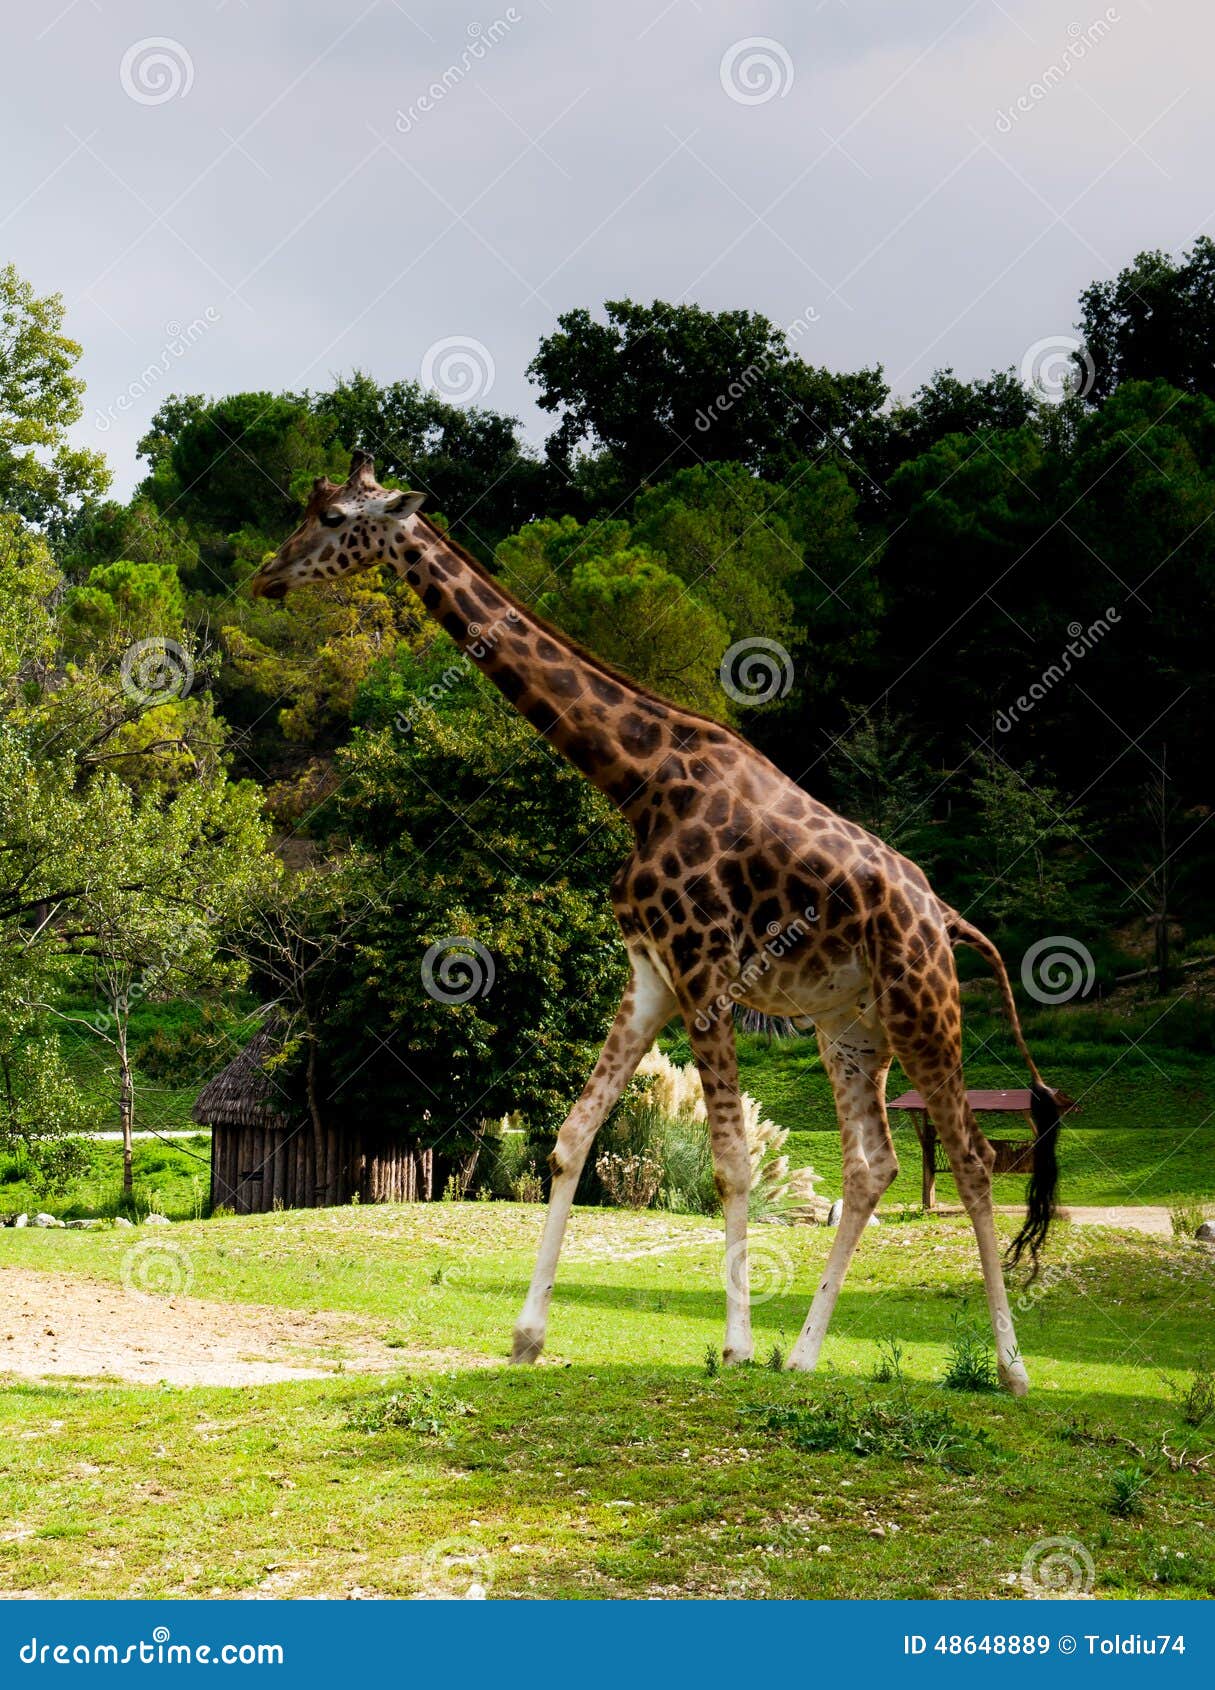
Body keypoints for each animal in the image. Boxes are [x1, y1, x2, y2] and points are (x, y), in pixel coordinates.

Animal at [251, 451, 1062, 1395]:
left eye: (335, 519)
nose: (268, 574)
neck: (638, 781)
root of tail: (945, 915)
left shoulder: (704, 969)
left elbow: (729, 1162)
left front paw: (734, 1346)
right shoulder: (650, 973)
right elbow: (571, 1137)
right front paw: (526, 1336)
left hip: (922, 1008)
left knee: (970, 1158)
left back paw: (1009, 1370)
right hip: (850, 1026)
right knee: (873, 1165)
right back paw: (805, 1356)